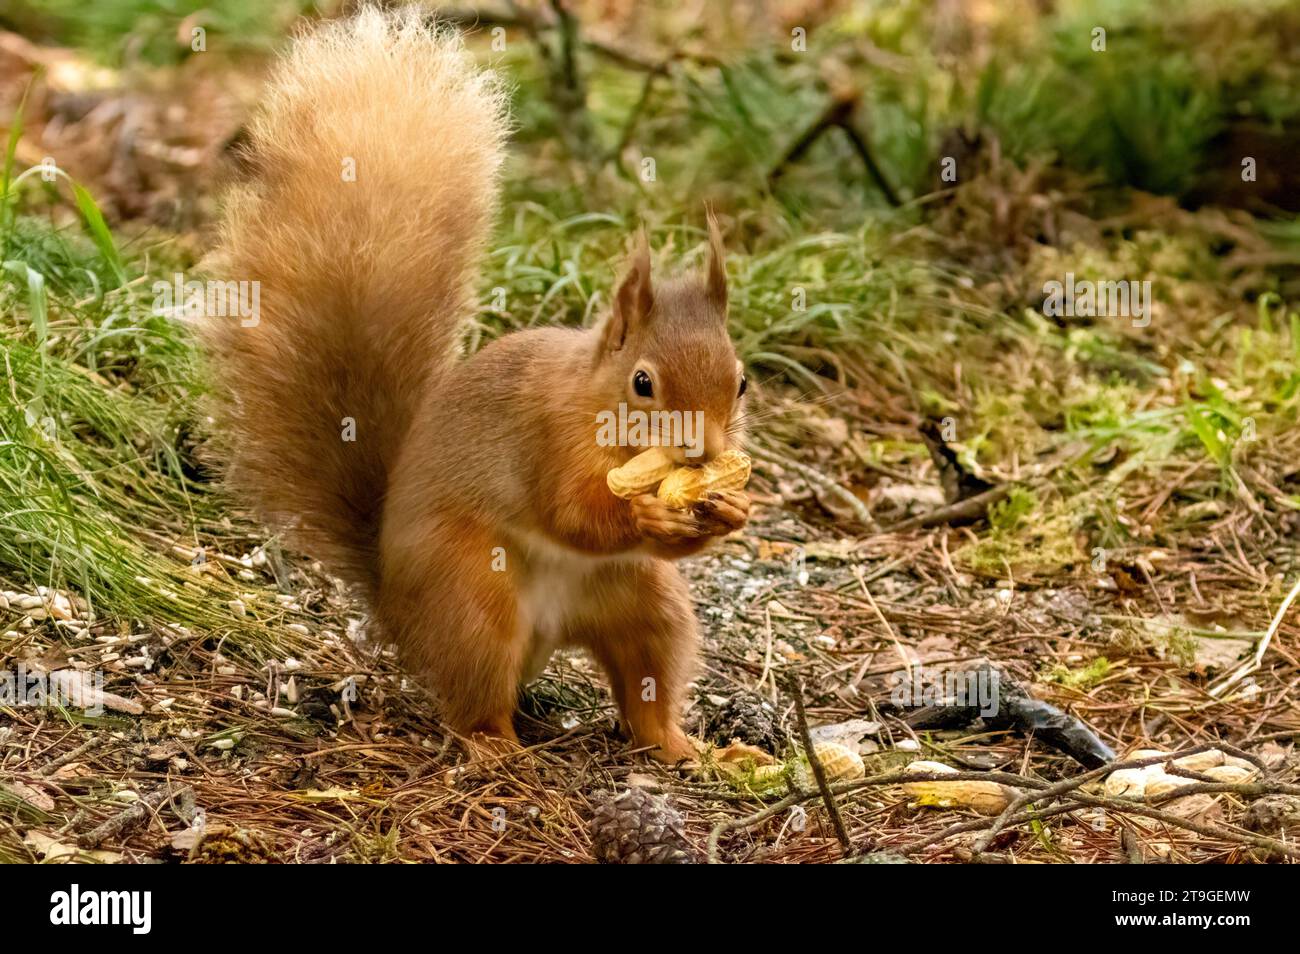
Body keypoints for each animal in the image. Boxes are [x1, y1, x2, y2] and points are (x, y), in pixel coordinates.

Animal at [205, 7, 750, 764]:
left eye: (742, 383)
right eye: (643, 382)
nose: (705, 456)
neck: (596, 404)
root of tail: (395, 606)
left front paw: (731, 510)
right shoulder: (544, 438)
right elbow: (569, 514)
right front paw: (644, 516)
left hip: (644, 602)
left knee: (647, 687)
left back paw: (691, 749)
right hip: (473, 595)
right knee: (473, 696)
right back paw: (498, 746)